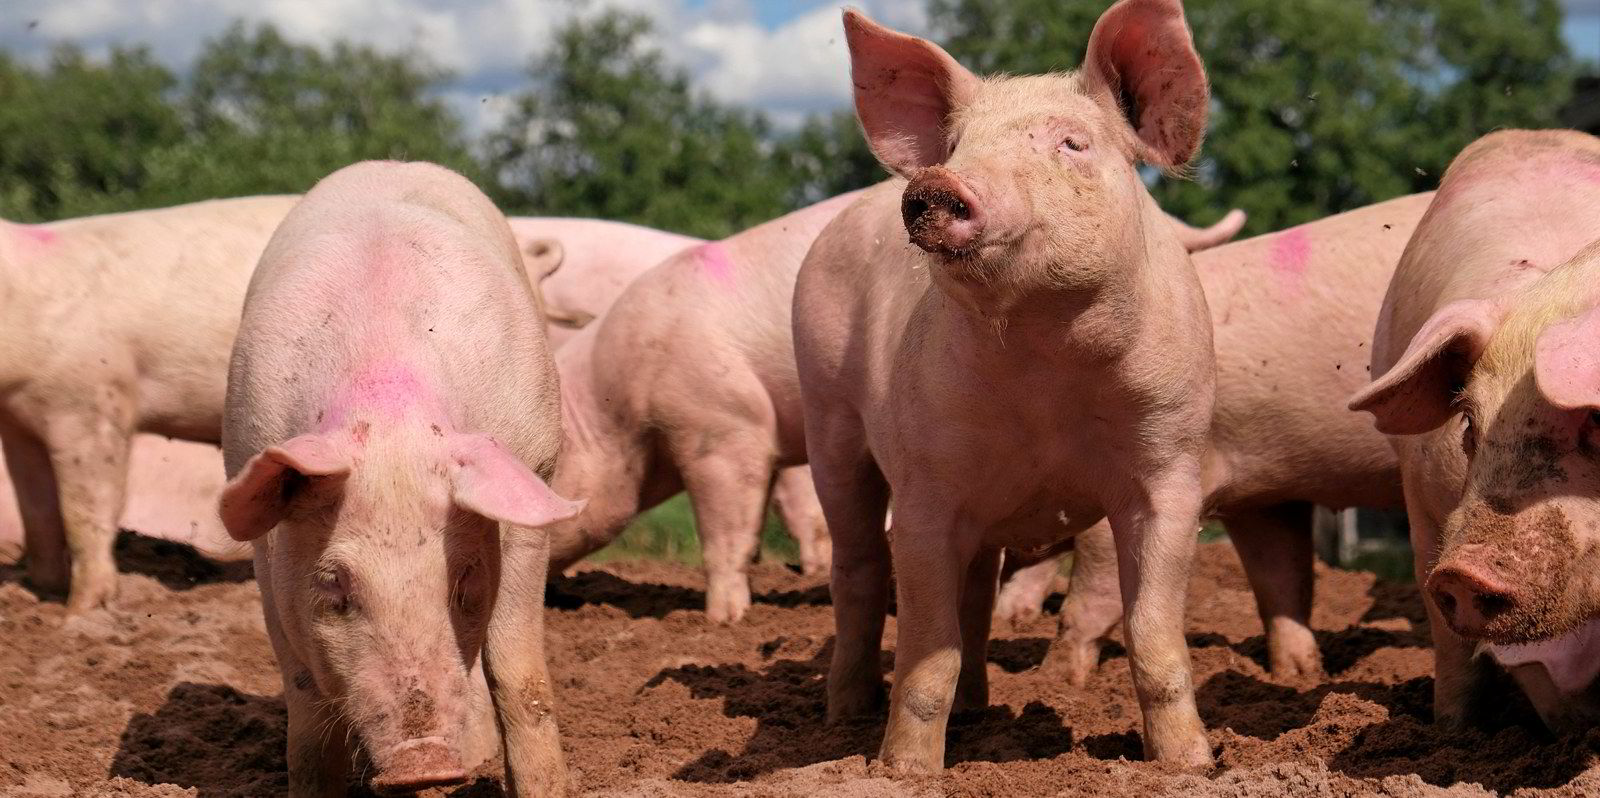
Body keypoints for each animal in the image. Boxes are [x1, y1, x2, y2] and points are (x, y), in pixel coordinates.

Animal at [220, 160, 581, 796]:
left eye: (463, 581)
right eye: (333, 584)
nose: (423, 764)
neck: (390, 412)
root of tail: (393, 162)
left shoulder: (530, 473)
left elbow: (518, 675)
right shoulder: (265, 540)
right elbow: (306, 704)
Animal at [793, 0, 1223, 770]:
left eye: (1072, 143)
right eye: (958, 143)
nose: (935, 184)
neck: (1045, 366)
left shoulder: (1171, 466)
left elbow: (1151, 633)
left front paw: (1190, 768)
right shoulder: (926, 486)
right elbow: (926, 653)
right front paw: (903, 772)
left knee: (975, 595)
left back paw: (977, 711)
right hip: (828, 419)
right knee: (858, 568)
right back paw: (844, 719)